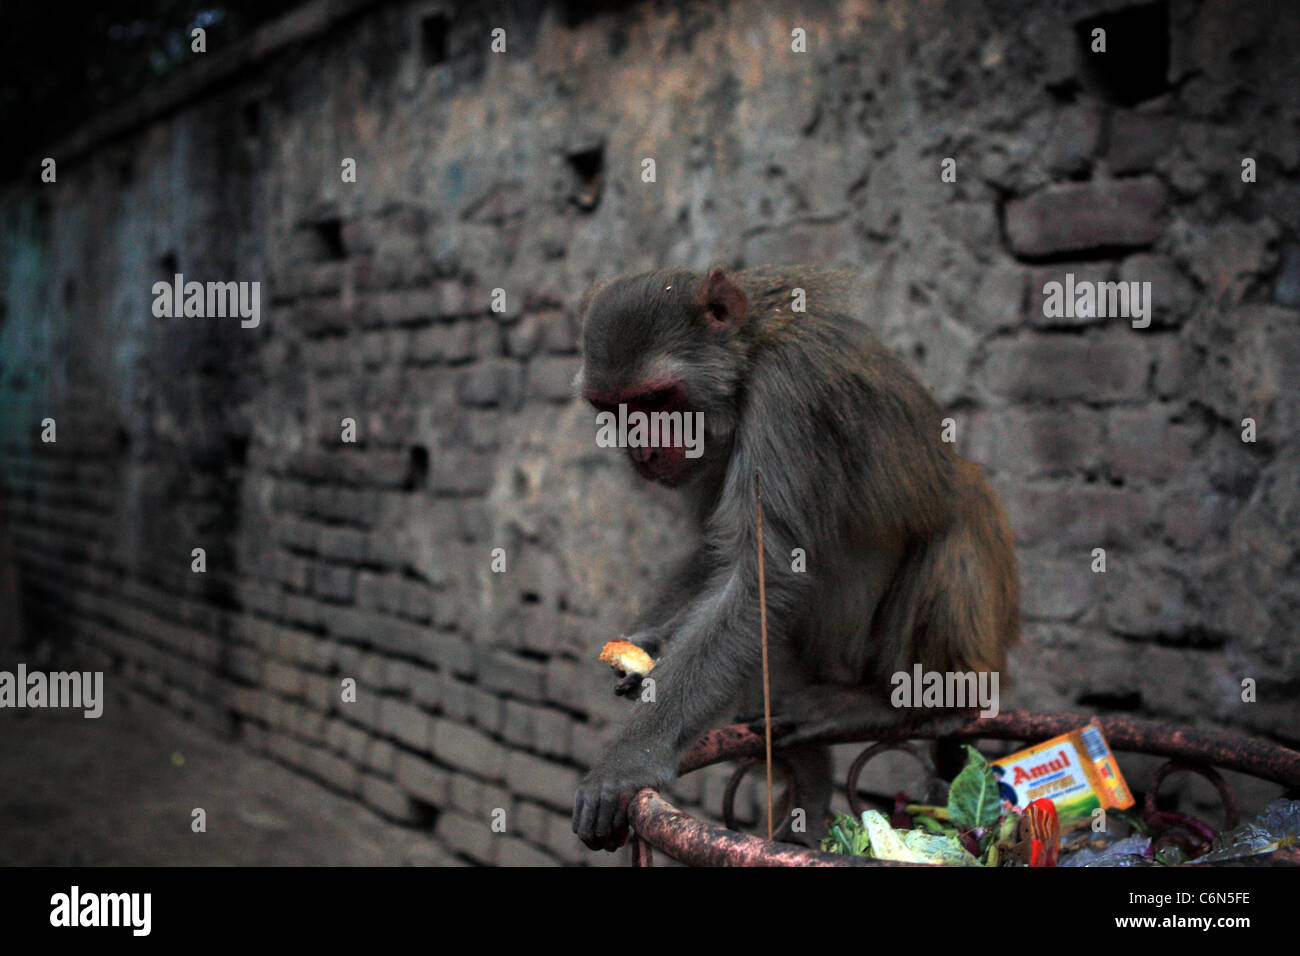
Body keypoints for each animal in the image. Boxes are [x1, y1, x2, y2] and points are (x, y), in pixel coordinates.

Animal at [571, 266, 1019, 852]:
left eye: (658, 397)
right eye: (615, 408)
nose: (642, 452)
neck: (748, 360)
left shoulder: (787, 394)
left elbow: (763, 576)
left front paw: (627, 762)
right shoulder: (708, 451)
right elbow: (718, 557)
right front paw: (647, 645)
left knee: (951, 545)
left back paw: (905, 705)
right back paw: (810, 782)